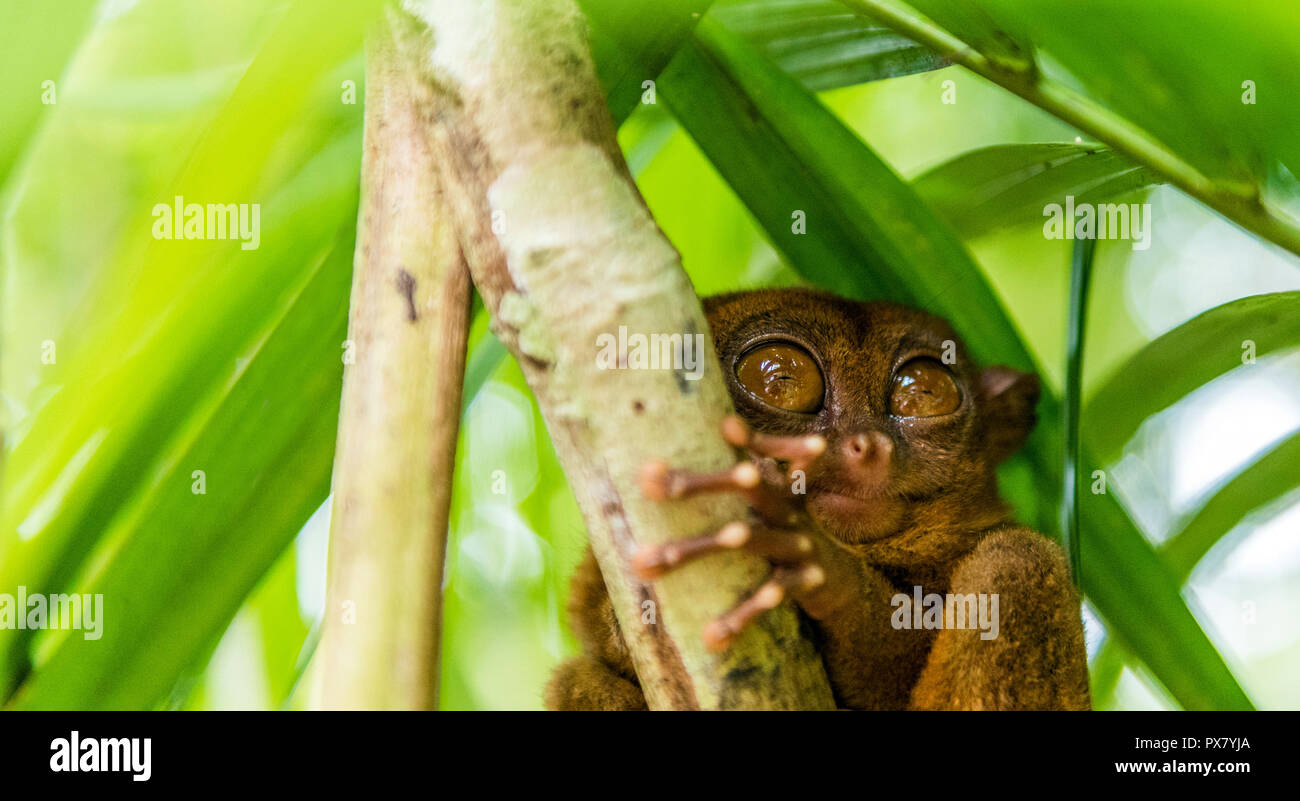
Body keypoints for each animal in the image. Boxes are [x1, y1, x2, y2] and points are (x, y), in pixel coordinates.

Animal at [544, 288, 1091, 710]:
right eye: (780, 380)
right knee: (575, 681)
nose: (868, 445)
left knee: (1019, 557)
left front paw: (816, 562)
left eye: (925, 393)